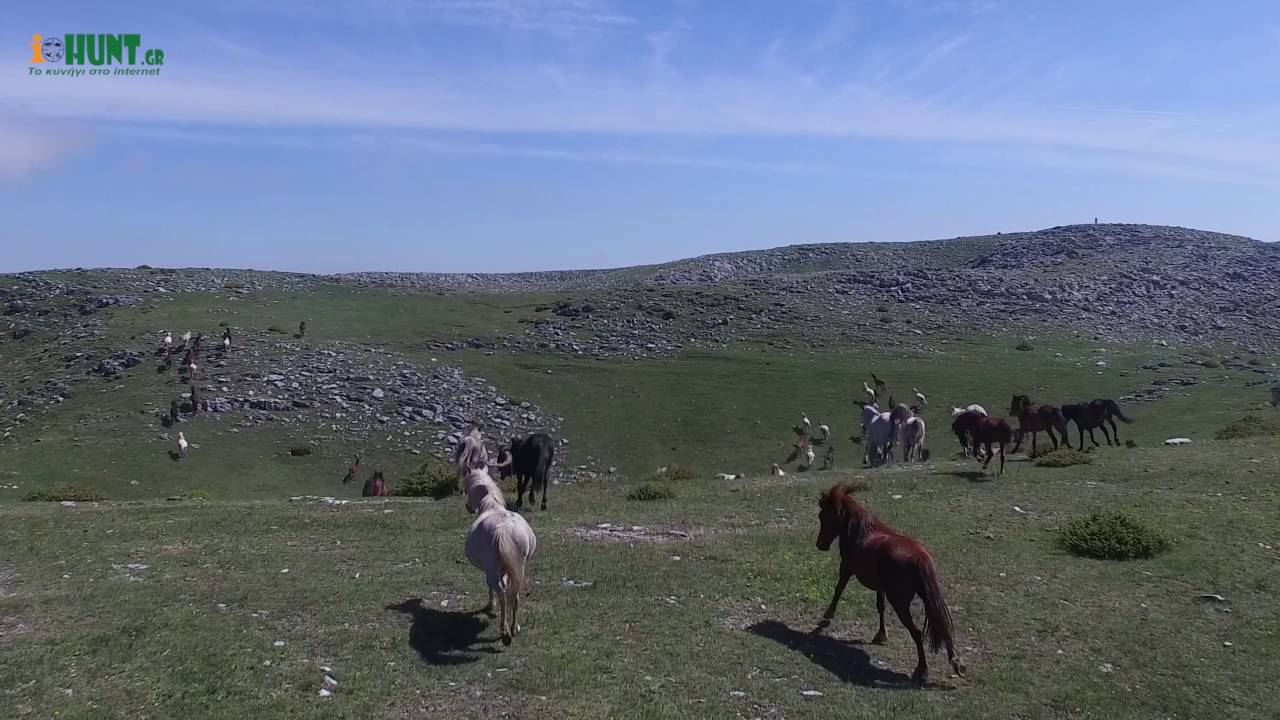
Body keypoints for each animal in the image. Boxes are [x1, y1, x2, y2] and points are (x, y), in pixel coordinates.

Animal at [465, 482, 537, 646]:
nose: (468, 507)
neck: (492, 507)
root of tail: (504, 530)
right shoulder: (507, 570)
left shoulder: (490, 571)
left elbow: (489, 585)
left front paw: (490, 605)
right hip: (519, 569)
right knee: (514, 596)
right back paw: (514, 628)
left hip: (493, 570)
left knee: (502, 594)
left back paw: (505, 632)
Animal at [815, 483, 966, 684]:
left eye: (823, 515)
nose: (820, 545)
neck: (862, 532)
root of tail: (919, 558)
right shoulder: (880, 587)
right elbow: (880, 606)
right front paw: (881, 635)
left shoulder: (846, 568)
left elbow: (838, 589)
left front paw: (828, 614)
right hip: (929, 599)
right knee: (943, 625)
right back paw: (955, 664)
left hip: (900, 604)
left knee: (917, 632)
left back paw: (921, 671)